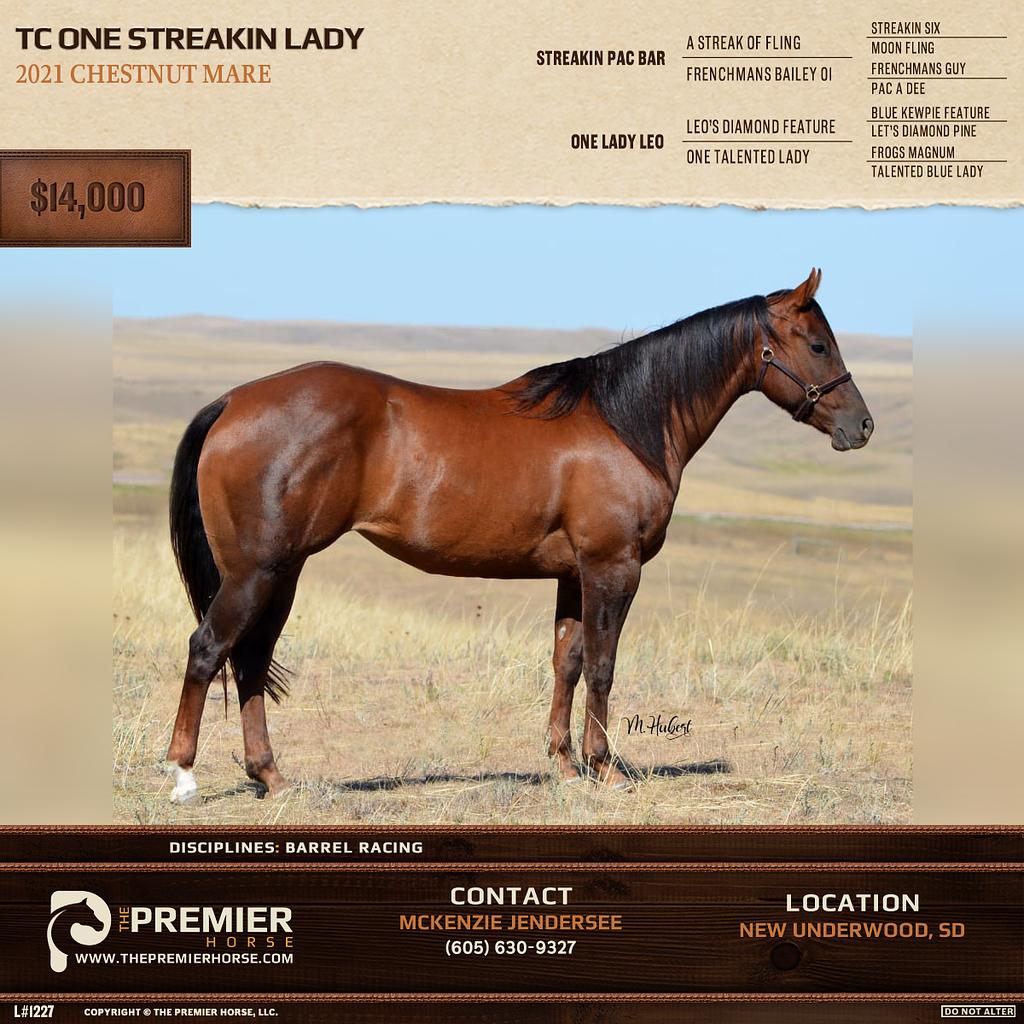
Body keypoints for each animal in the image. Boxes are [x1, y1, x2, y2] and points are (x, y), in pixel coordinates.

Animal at [164, 268, 873, 802]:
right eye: (817, 345)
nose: (861, 427)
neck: (626, 424)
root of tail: (232, 402)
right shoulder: (613, 567)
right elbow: (604, 666)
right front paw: (605, 769)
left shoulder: (572, 574)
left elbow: (568, 662)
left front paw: (563, 765)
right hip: (255, 573)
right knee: (208, 650)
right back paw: (184, 775)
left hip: (282, 575)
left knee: (250, 661)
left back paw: (272, 777)